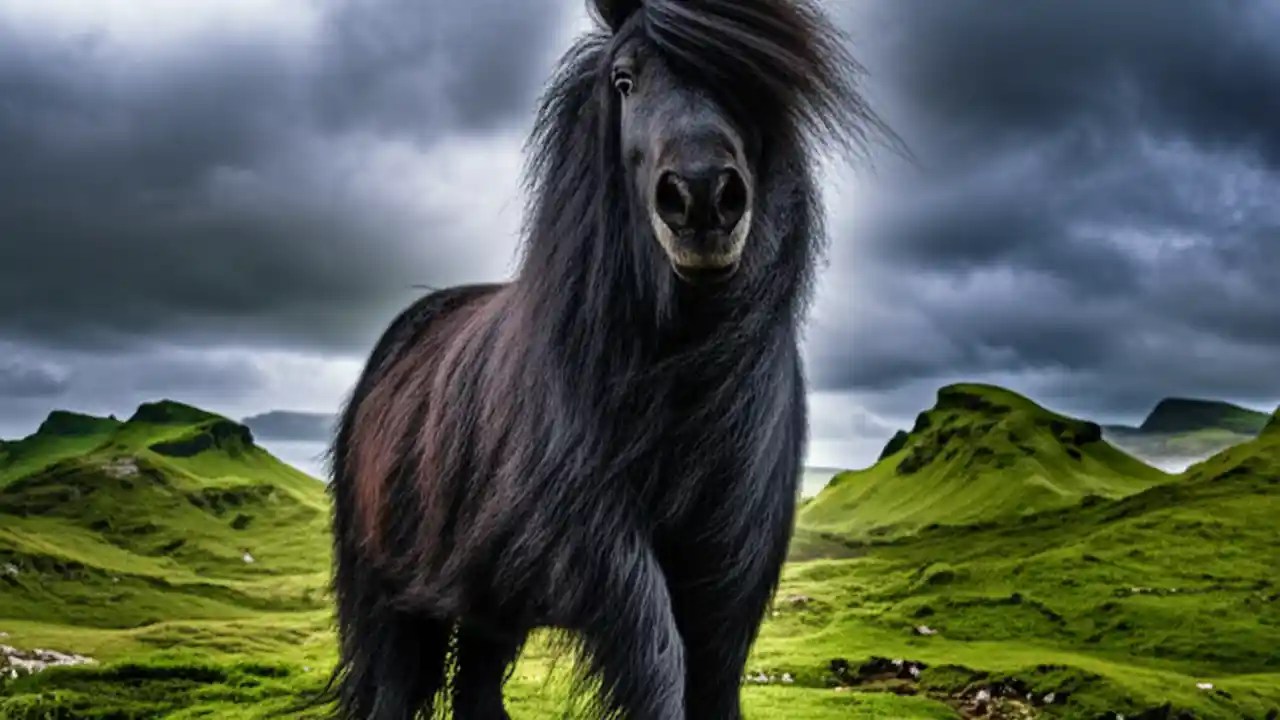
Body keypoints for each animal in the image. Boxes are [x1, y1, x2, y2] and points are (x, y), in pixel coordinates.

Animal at [328, 0, 886, 717]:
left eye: (750, 76)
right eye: (625, 80)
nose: (701, 197)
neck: (679, 373)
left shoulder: (732, 563)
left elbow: (712, 678)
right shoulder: (597, 549)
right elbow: (658, 661)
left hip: (490, 605)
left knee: (478, 687)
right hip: (393, 600)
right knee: (396, 688)